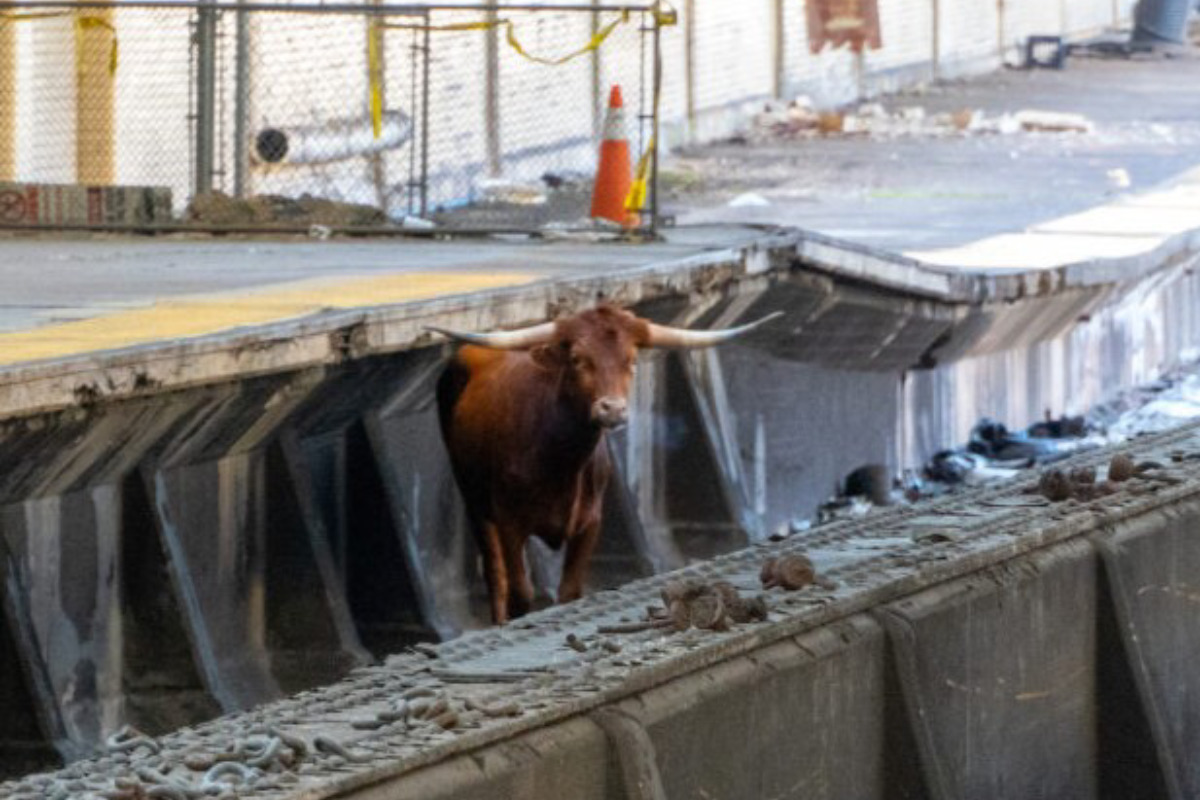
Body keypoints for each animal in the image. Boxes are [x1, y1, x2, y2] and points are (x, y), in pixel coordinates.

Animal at [430, 304, 780, 624]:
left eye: (632, 360)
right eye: (577, 359)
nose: (612, 409)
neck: (557, 462)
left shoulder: (590, 522)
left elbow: (570, 591)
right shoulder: (509, 522)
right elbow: (520, 593)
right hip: (475, 502)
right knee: (495, 576)